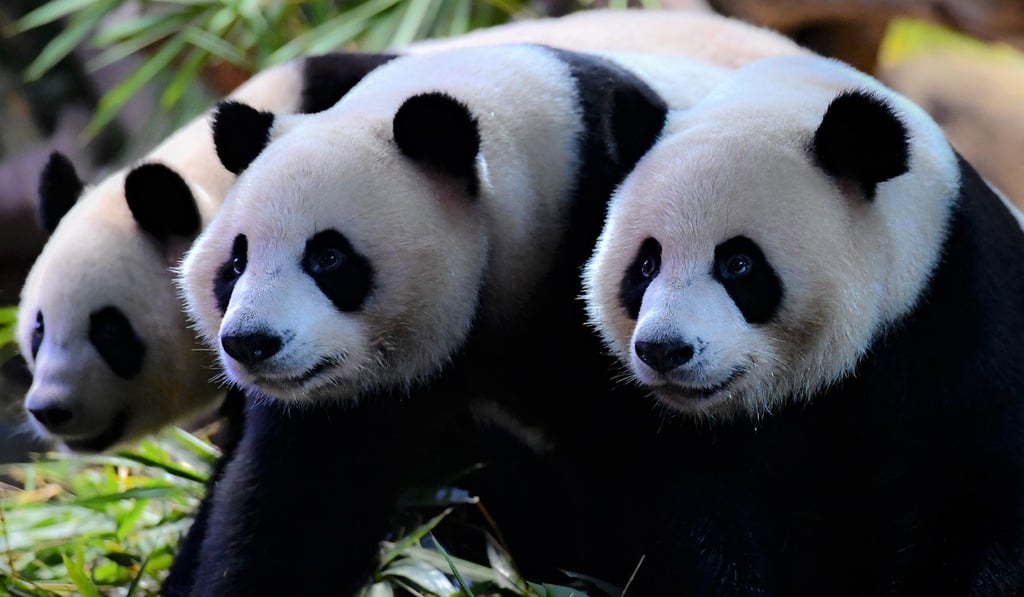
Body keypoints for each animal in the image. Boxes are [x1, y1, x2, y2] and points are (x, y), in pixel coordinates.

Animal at [582, 53, 1024, 594]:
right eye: (646, 265)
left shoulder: (957, 317)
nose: (664, 349)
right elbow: (694, 509)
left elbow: (973, 490)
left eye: (739, 264)